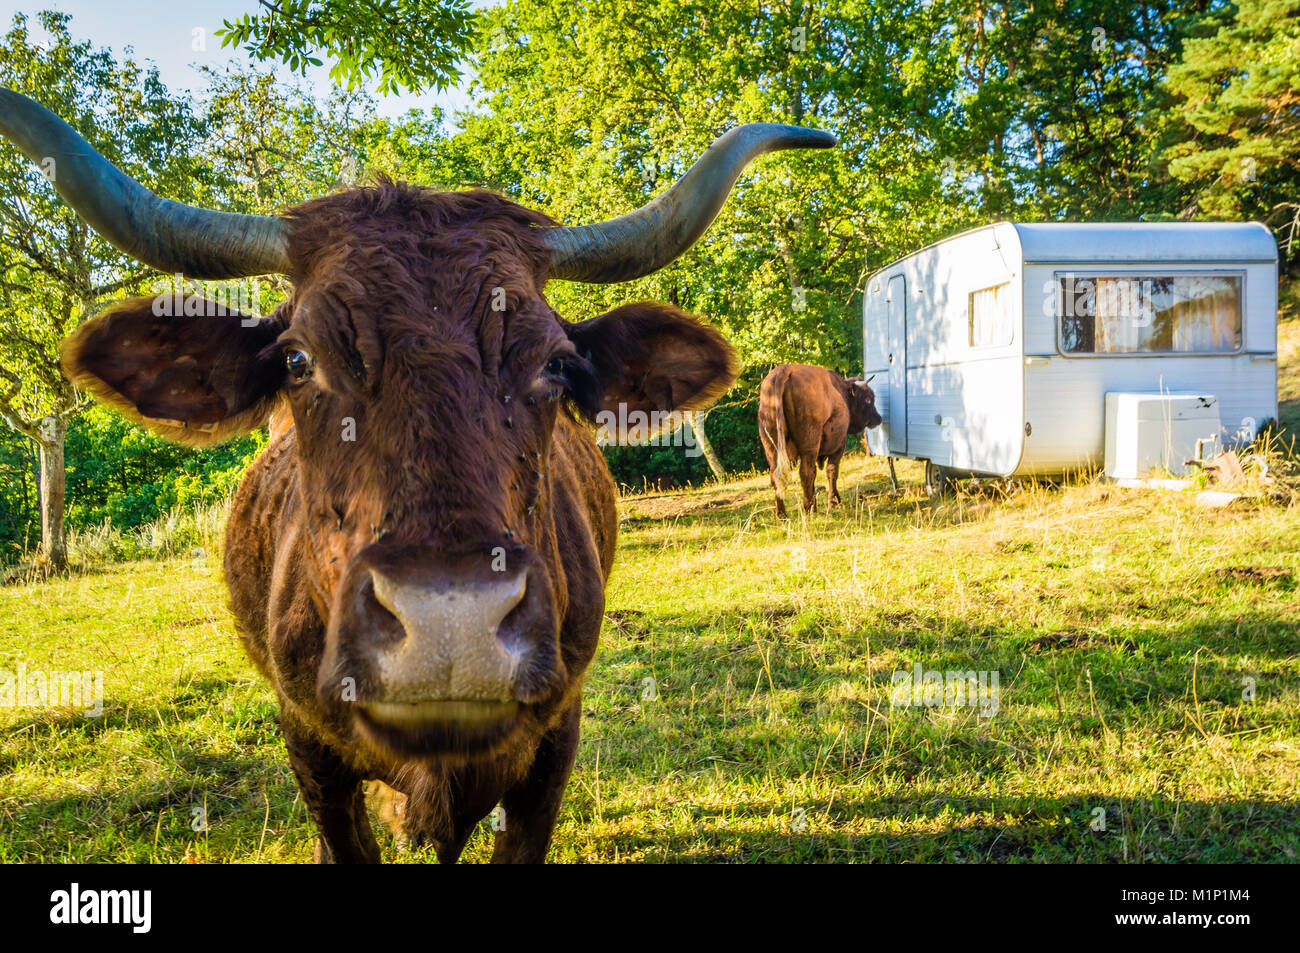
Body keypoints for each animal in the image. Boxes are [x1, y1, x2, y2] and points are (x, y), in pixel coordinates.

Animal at [758, 363, 882, 518]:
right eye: (868, 399)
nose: (879, 418)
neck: (840, 392)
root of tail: (785, 369)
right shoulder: (839, 445)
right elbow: (832, 471)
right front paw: (834, 501)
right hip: (809, 440)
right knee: (806, 472)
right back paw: (808, 508)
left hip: (771, 446)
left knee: (777, 476)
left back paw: (782, 514)